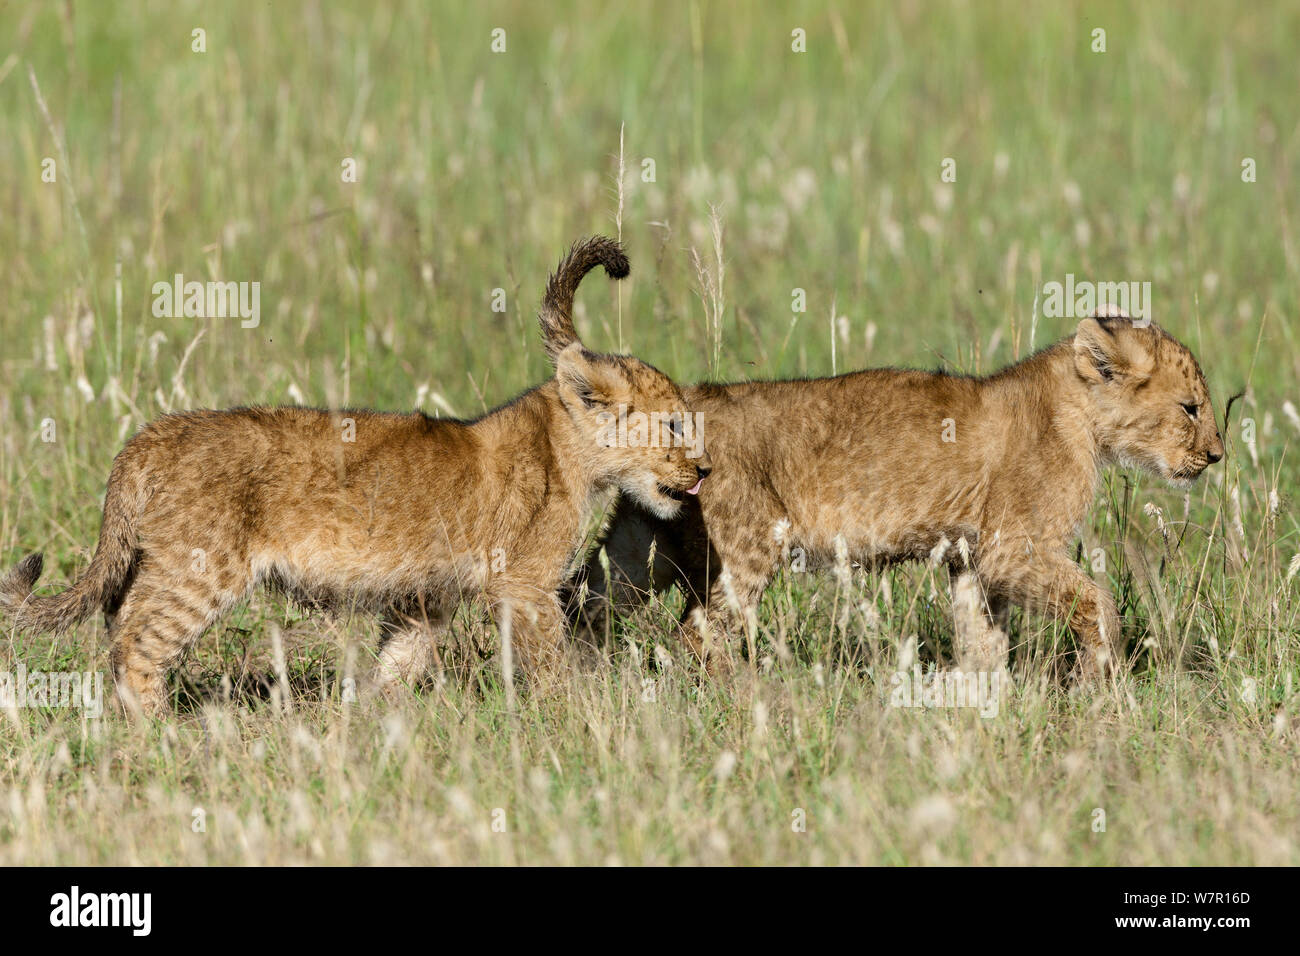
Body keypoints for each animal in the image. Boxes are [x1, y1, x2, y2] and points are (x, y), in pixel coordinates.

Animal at [0, 236, 711, 717]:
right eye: (676, 425)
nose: (704, 470)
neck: (569, 448)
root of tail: (151, 435)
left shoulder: (427, 597)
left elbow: (398, 661)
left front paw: (371, 720)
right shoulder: (524, 584)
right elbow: (550, 660)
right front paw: (574, 715)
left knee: (116, 622)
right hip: (198, 570)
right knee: (136, 644)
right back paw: (162, 735)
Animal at [567, 311, 1223, 681]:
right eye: (1190, 408)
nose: (1217, 454)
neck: (1079, 413)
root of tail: (685, 406)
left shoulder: (976, 560)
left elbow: (981, 637)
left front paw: (985, 704)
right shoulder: (1015, 548)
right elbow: (1098, 603)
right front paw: (1105, 683)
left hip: (640, 546)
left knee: (581, 603)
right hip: (748, 548)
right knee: (698, 634)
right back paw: (747, 698)